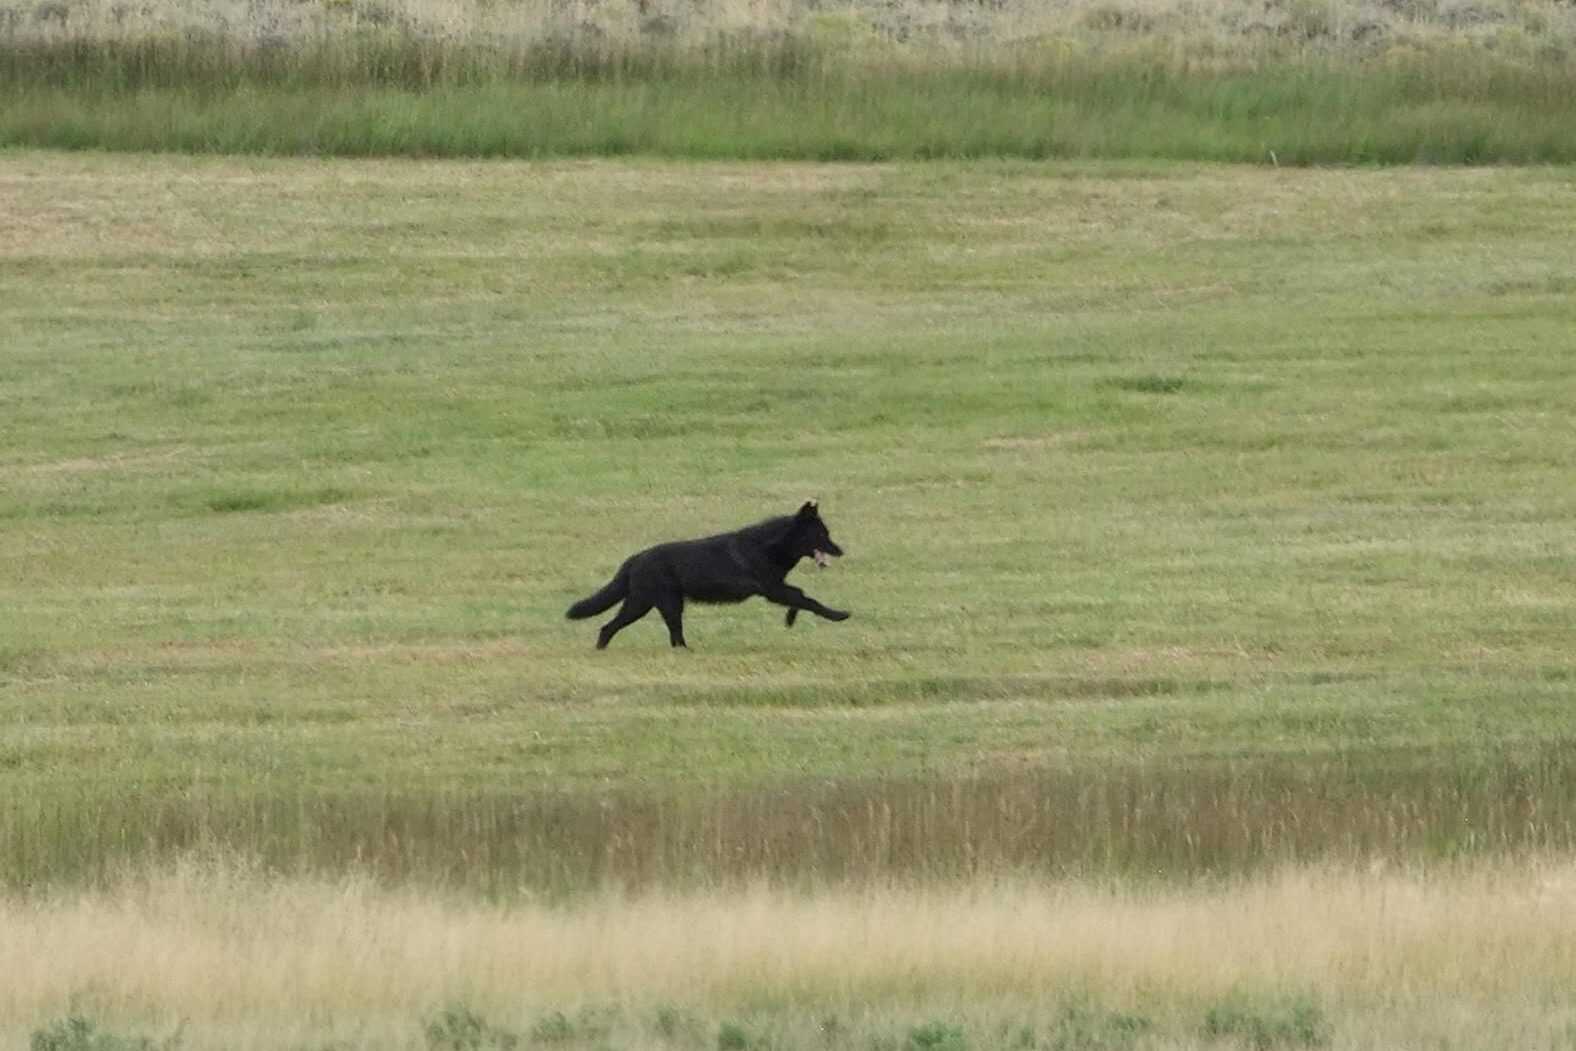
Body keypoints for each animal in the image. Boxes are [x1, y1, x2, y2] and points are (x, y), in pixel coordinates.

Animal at [566, 501, 849, 649]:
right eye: (821, 534)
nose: (841, 551)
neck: (769, 545)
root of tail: (636, 559)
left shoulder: (777, 589)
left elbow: (800, 598)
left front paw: (790, 619)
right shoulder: (772, 589)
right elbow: (806, 599)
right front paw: (838, 615)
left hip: (644, 603)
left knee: (611, 628)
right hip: (660, 605)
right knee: (663, 634)